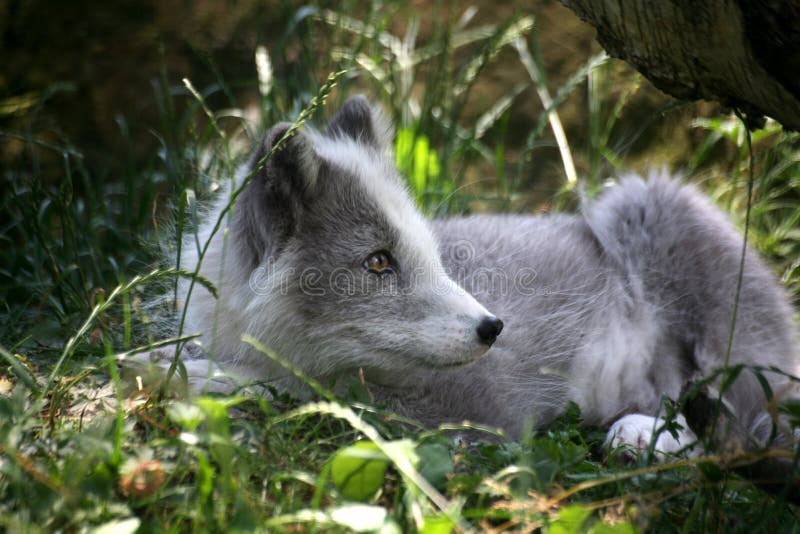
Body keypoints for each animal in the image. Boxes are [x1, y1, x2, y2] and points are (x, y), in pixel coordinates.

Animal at [162, 95, 798, 454]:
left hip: (642, 211)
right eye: (378, 261)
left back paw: (647, 433)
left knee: (746, 415)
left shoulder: (482, 414)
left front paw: (206, 378)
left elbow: (306, 393)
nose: (493, 328)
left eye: (432, 253)